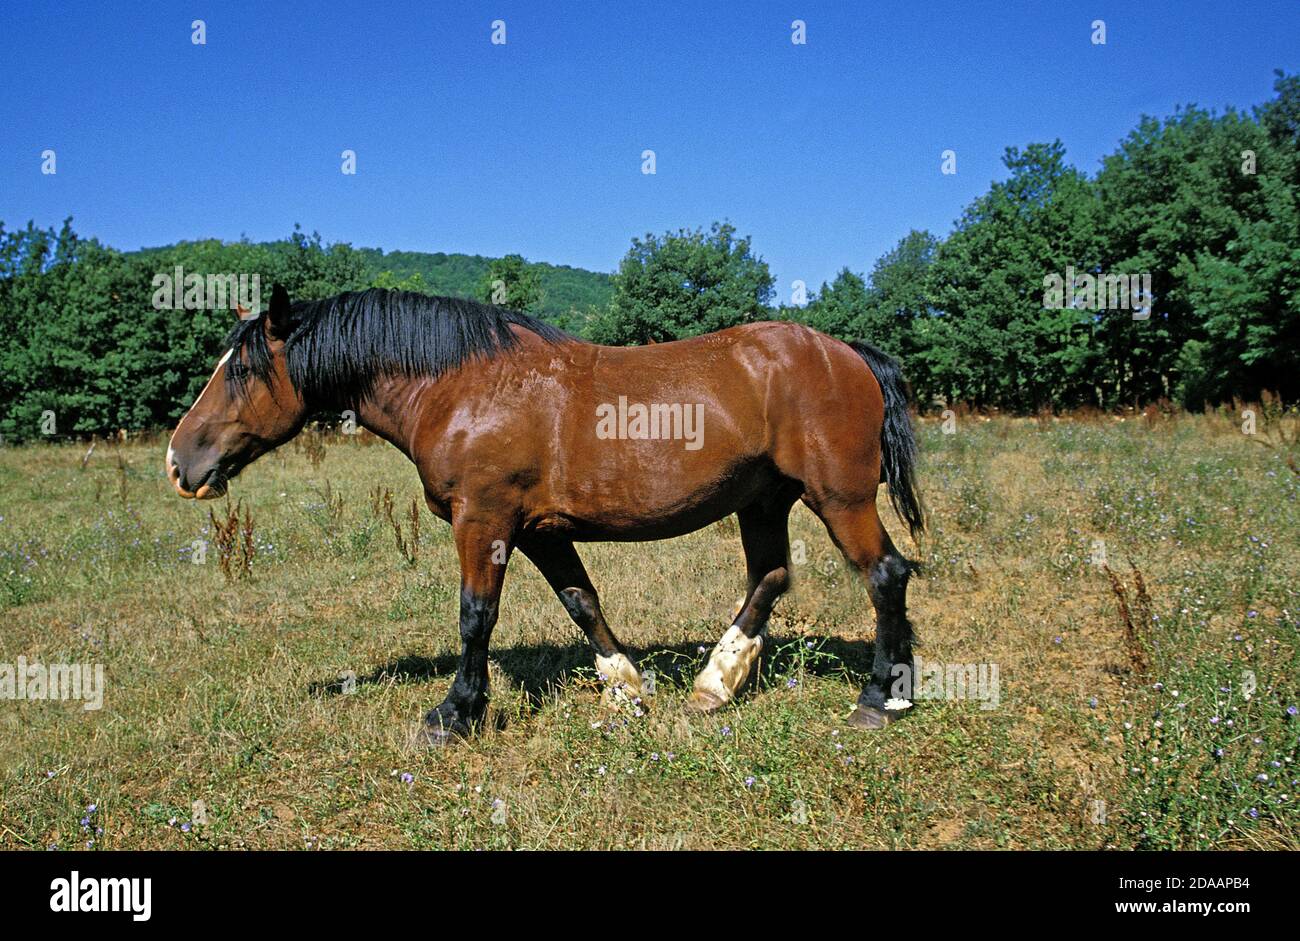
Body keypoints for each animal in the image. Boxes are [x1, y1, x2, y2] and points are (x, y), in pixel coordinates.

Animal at [165, 285, 925, 745]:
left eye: (241, 370)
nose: (180, 461)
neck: (461, 386)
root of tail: (848, 353)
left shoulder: (484, 521)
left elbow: (476, 616)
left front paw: (455, 713)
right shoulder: (538, 533)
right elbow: (581, 602)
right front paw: (625, 691)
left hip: (839, 498)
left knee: (885, 575)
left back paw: (879, 698)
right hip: (764, 501)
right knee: (769, 579)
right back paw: (714, 685)